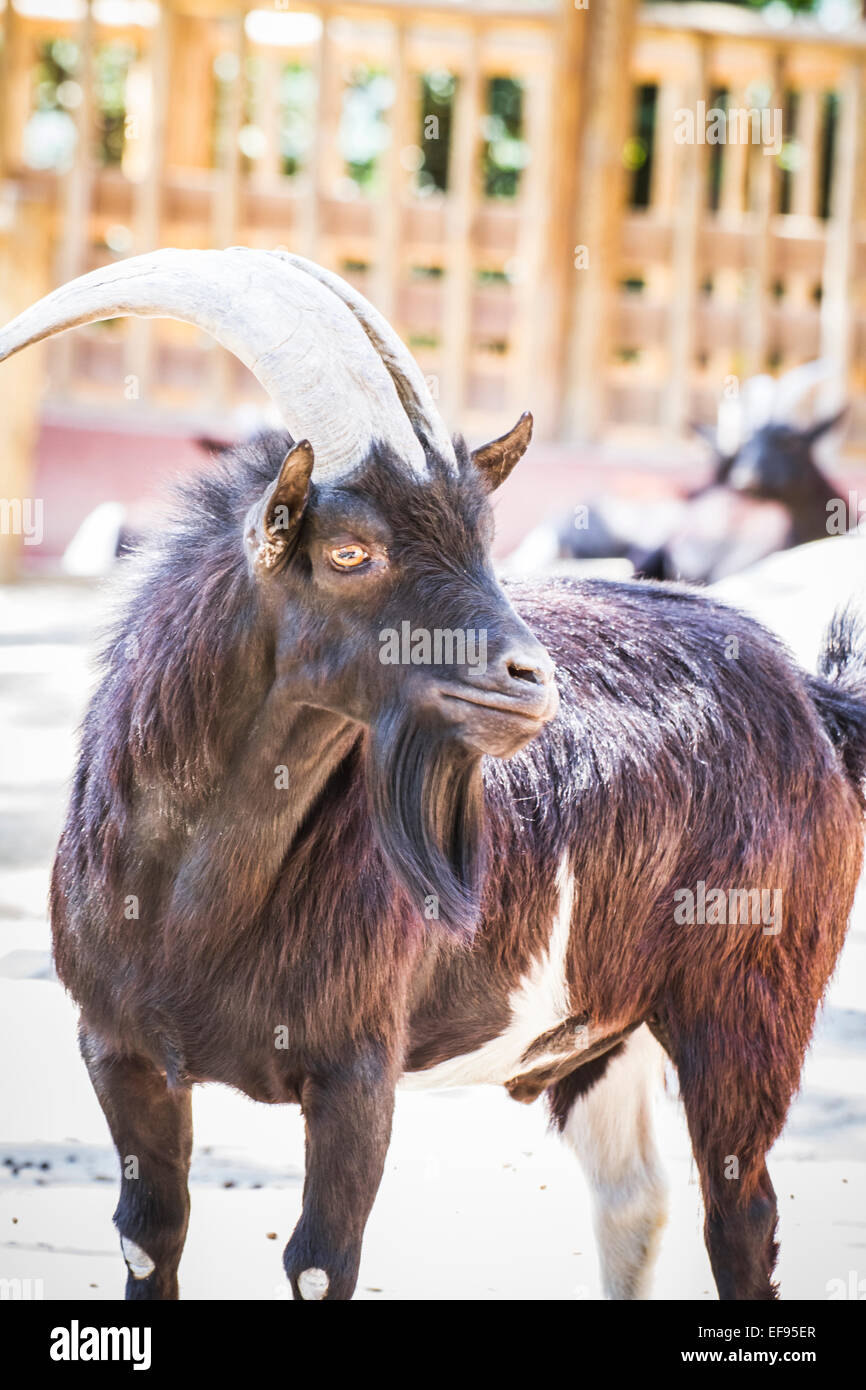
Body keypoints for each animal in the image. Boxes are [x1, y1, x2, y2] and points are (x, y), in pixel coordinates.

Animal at [2, 249, 865, 1301]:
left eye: (484, 539)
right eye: (348, 551)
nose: (531, 679)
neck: (186, 902)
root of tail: (809, 697)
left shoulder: (356, 1069)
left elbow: (320, 1260)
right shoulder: (119, 1051)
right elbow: (147, 1234)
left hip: (750, 1001)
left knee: (741, 1217)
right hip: (601, 1027)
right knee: (634, 1202)